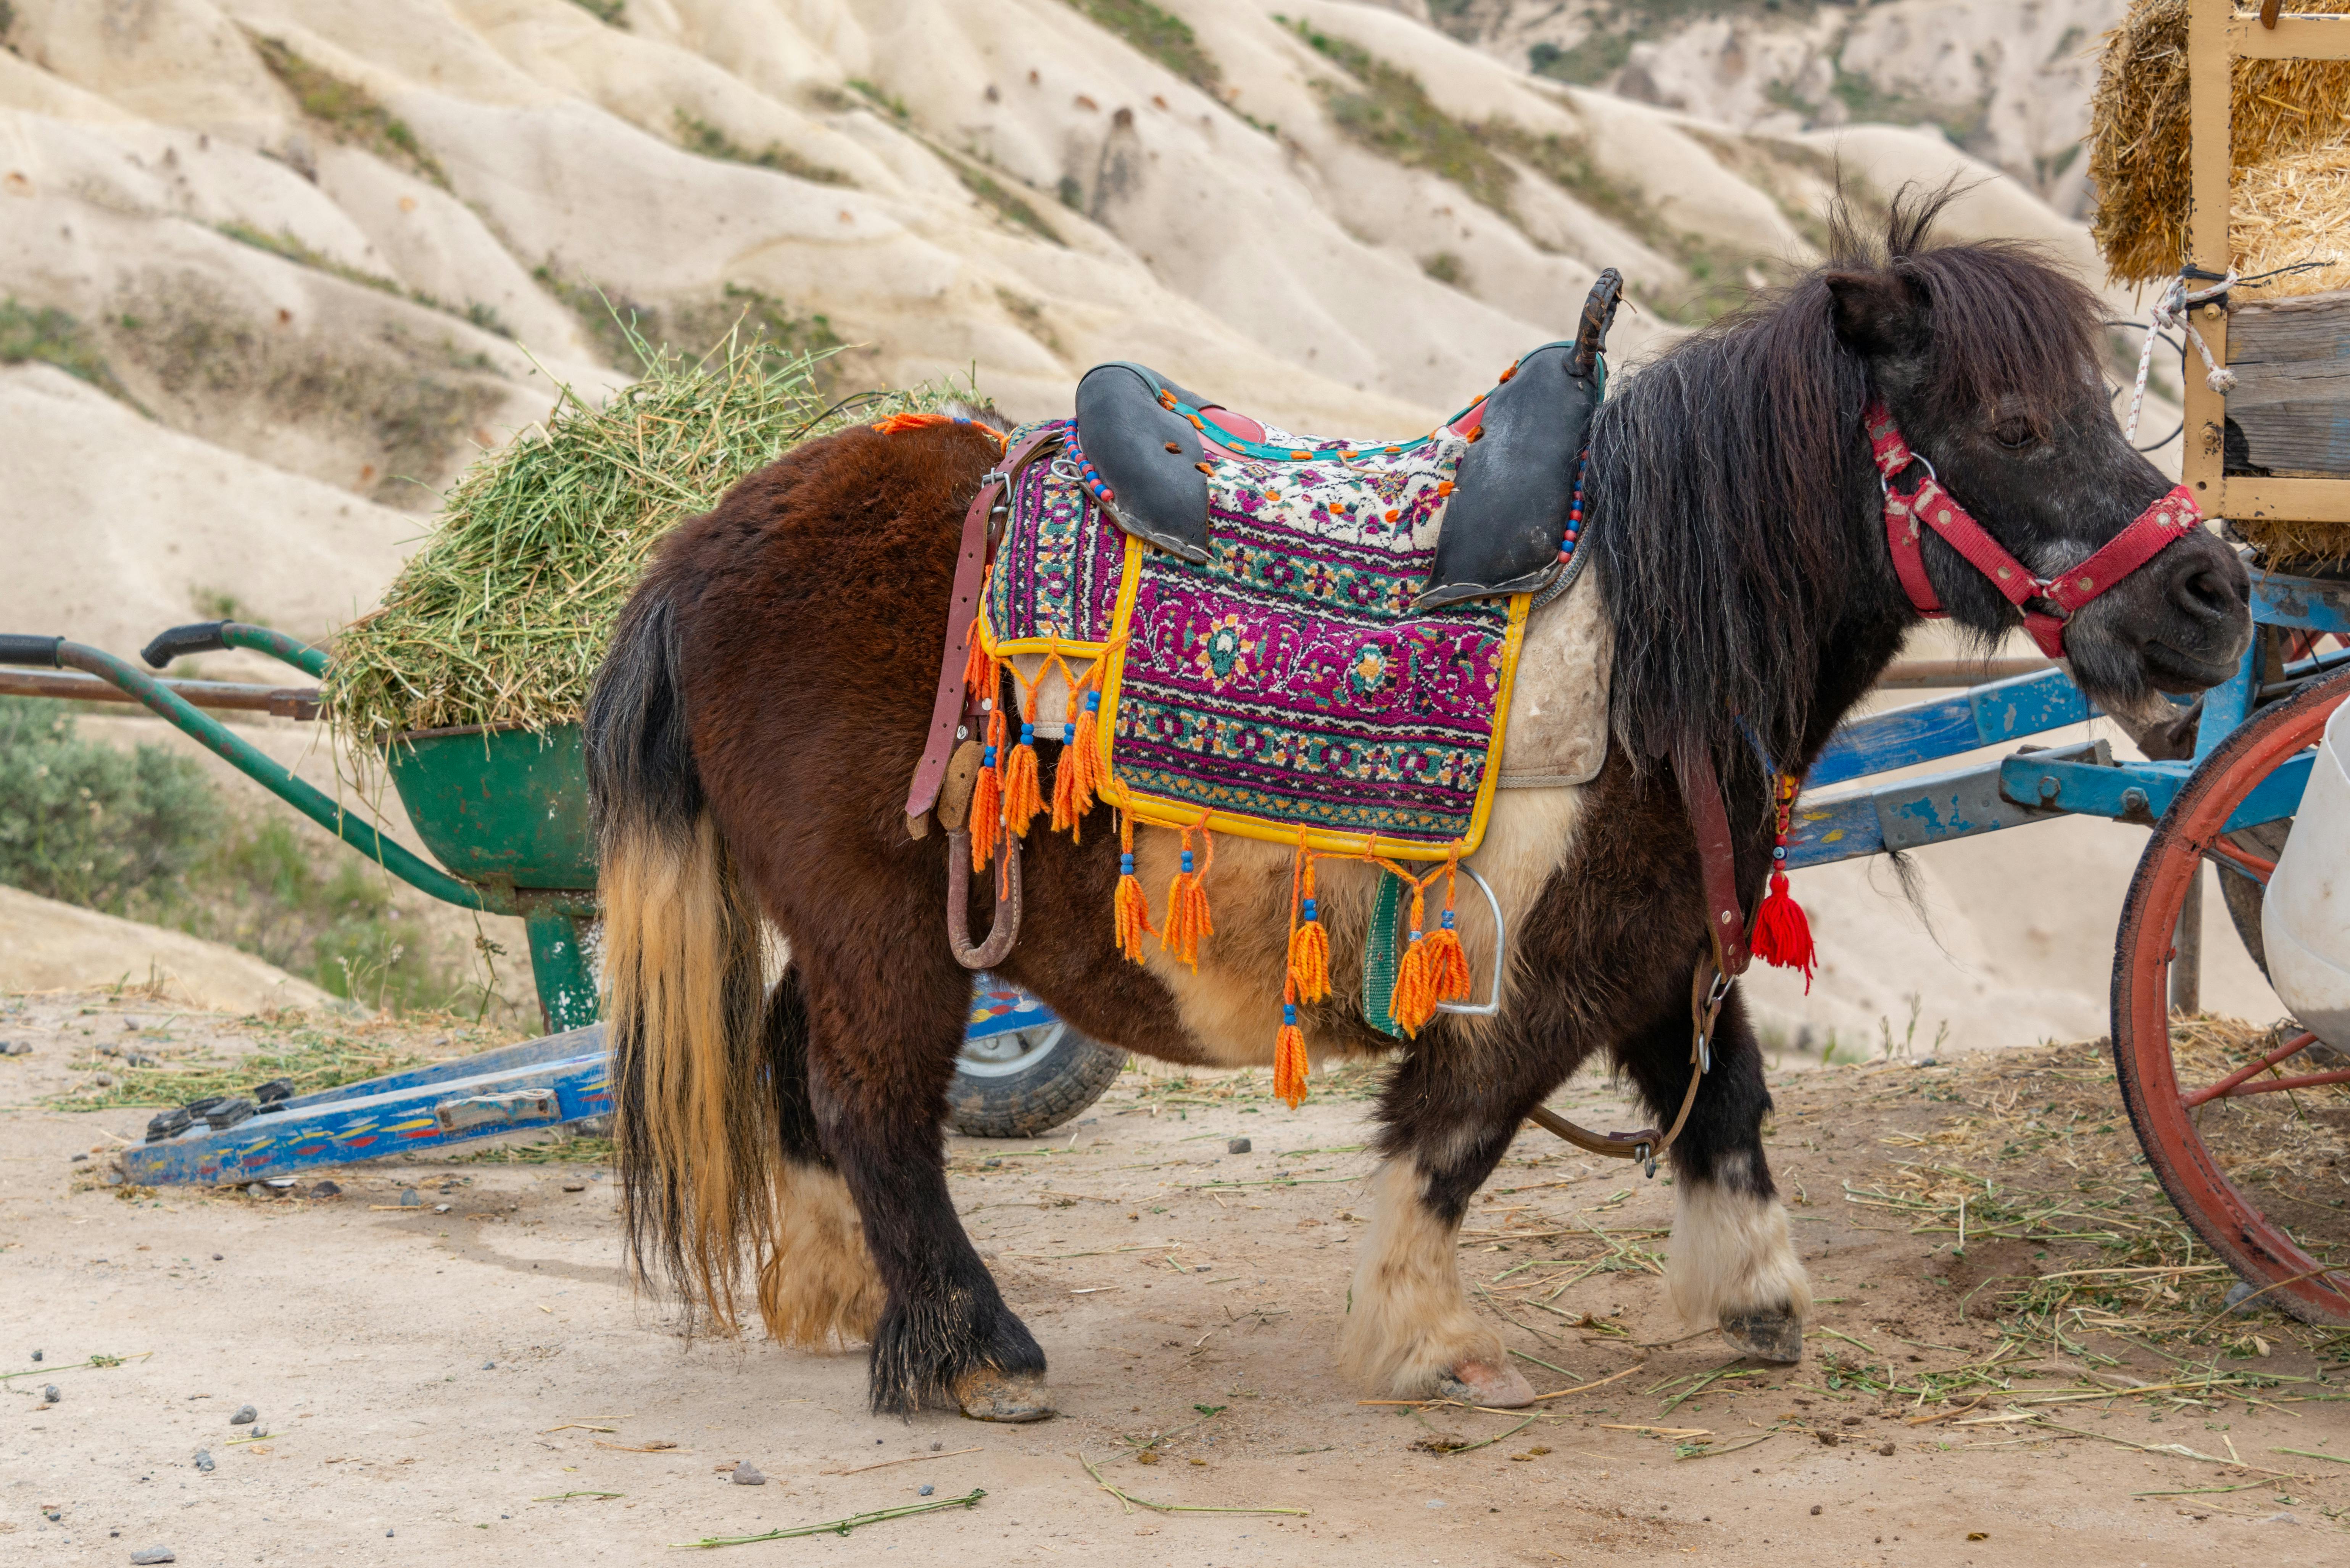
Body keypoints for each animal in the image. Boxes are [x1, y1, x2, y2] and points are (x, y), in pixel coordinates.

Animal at [583, 190, 2252, 1421]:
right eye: (2015, 426)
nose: (2214, 595)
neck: (1658, 624)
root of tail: (703, 547)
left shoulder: (1662, 941)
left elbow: (1723, 1106)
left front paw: (1757, 1295)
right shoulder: (1550, 969)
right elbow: (1457, 1129)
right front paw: (1423, 1337)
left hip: (867, 928)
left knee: (795, 1069)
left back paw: (841, 1296)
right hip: (889, 932)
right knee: (874, 1105)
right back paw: (972, 1347)